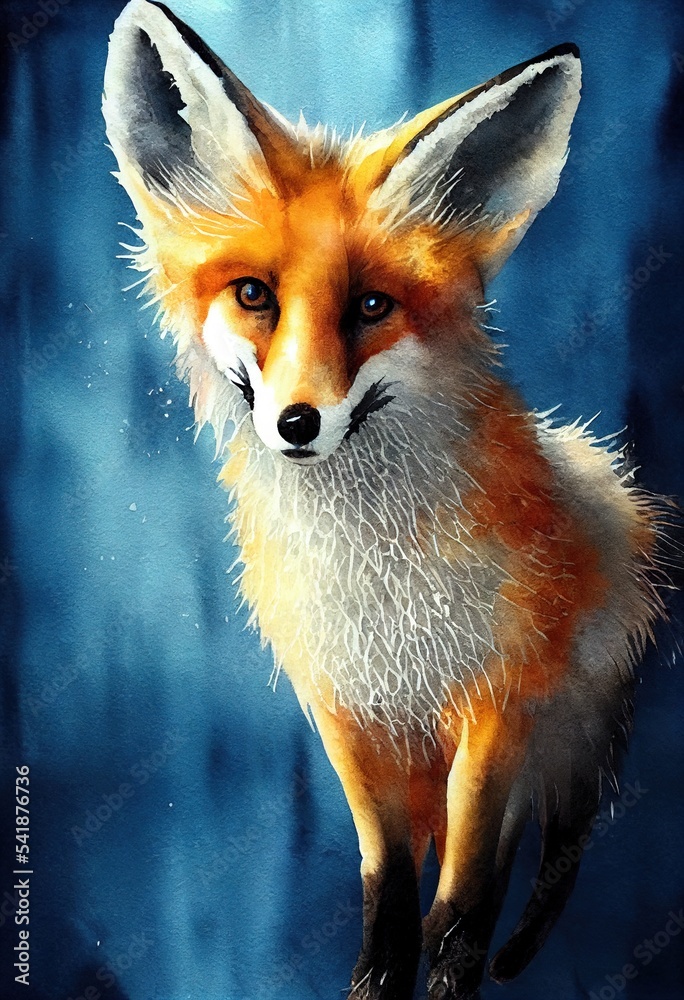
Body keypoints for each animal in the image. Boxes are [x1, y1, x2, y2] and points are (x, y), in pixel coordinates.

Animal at [103, 4, 676, 998]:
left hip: (573, 728)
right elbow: (390, 890)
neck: (378, 573)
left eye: (372, 306)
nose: (297, 422)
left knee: (550, 848)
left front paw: (454, 975)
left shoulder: (493, 701)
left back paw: (516, 952)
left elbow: (462, 897)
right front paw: (377, 982)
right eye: (253, 295)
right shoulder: (349, 709)